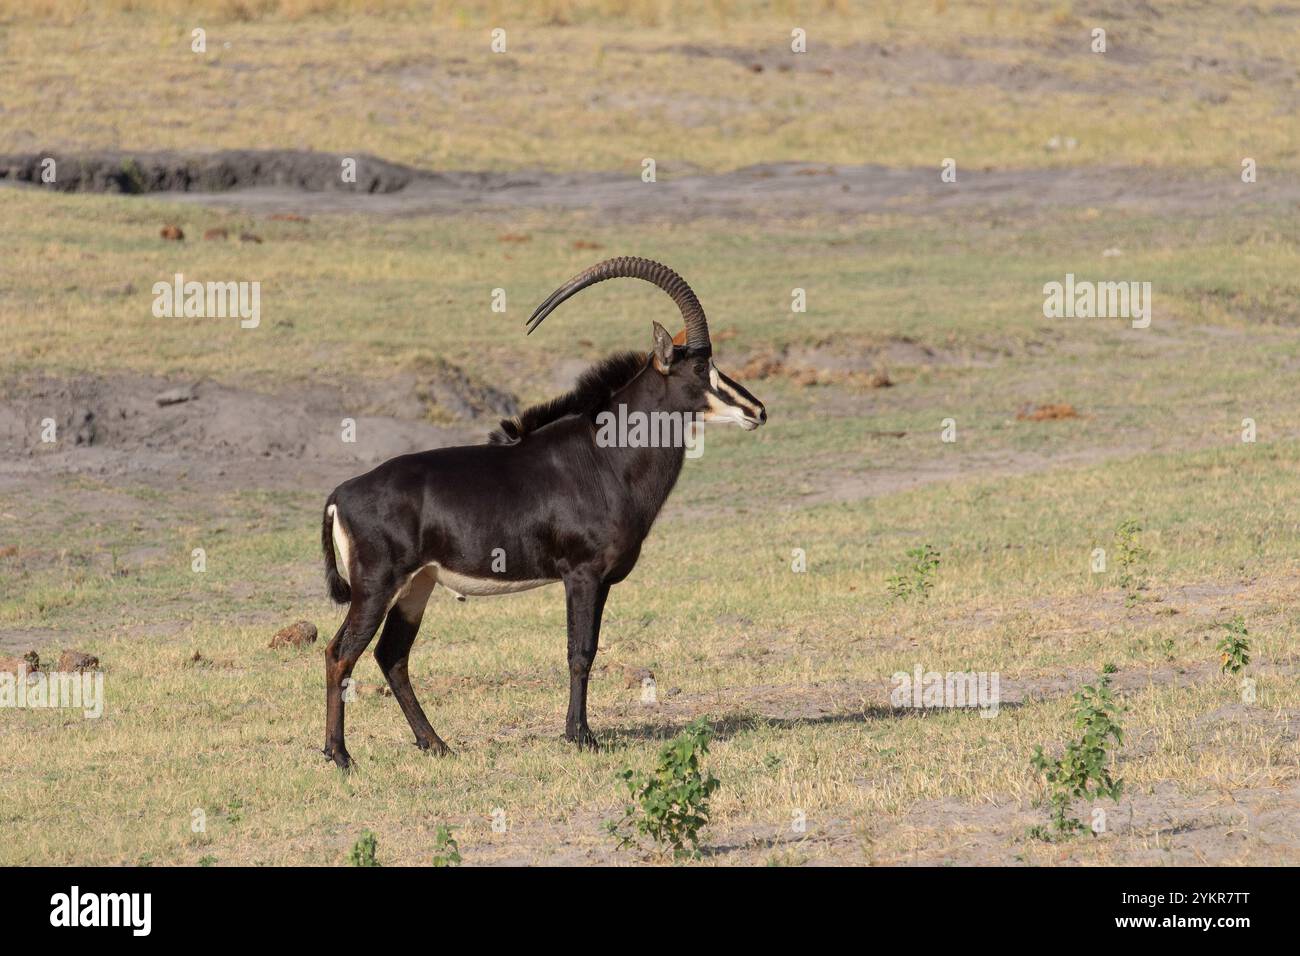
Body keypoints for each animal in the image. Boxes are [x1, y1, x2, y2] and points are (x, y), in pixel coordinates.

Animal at [320, 257, 767, 768]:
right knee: (340, 653)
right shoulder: (582, 575)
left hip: (417, 586)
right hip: (376, 587)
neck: (605, 455)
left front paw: (579, 732)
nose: (758, 410)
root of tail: (341, 494)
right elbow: (580, 652)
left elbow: (588, 650)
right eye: (699, 368)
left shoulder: (600, 581)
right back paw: (340, 756)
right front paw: (580, 736)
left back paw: (435, 744)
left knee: (392, 655)